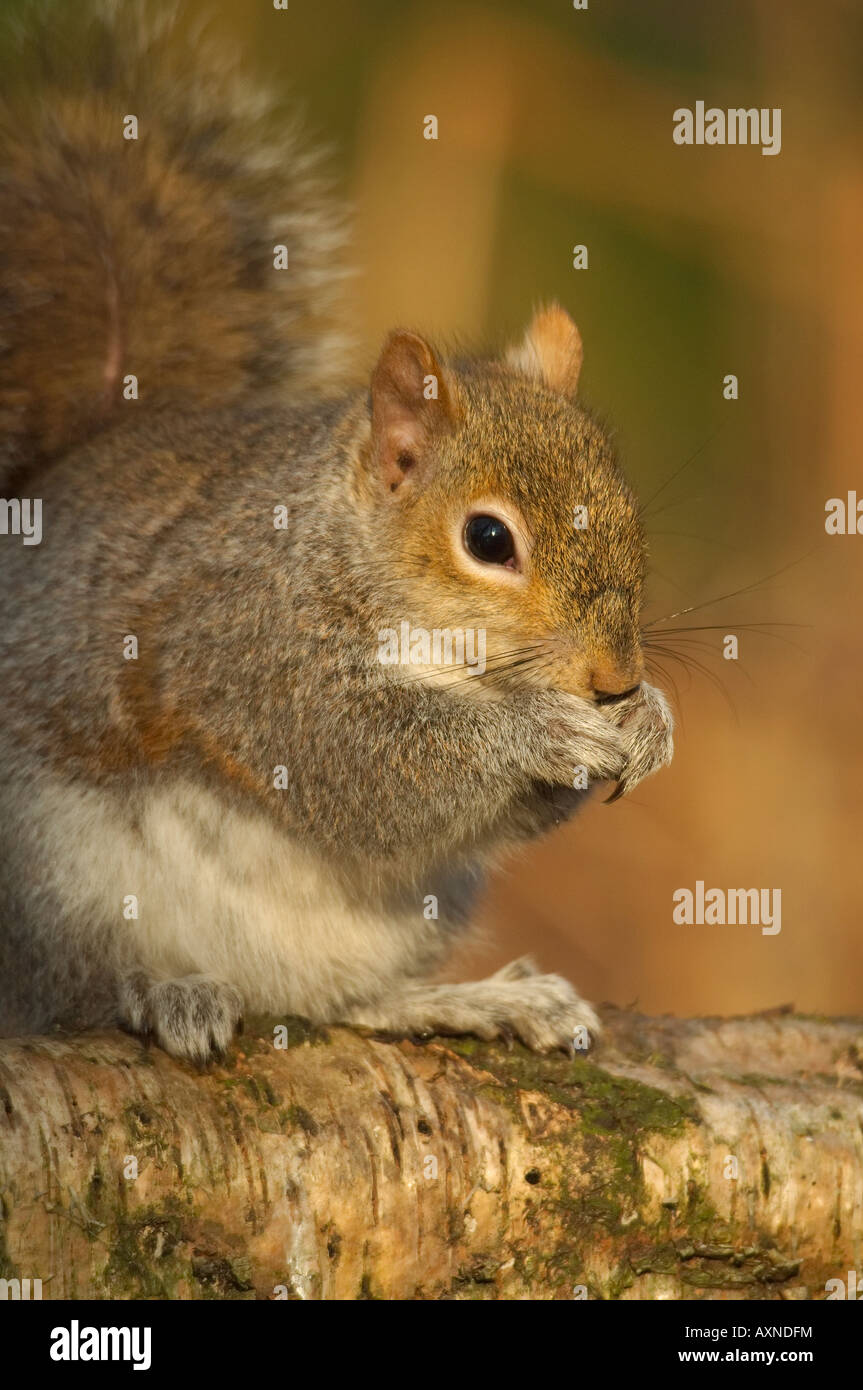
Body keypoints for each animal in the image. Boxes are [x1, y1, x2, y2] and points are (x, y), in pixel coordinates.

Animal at [0, 1, 673, 1064]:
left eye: (628, 513)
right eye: (489, 541)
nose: (613, 679)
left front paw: (648, 723)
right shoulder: (244, 649)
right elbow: (359, 759)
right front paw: (539, 727)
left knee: (339, 1005)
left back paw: (474, 1001)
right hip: (52, 879)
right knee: (64, 990)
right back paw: (160, 991)